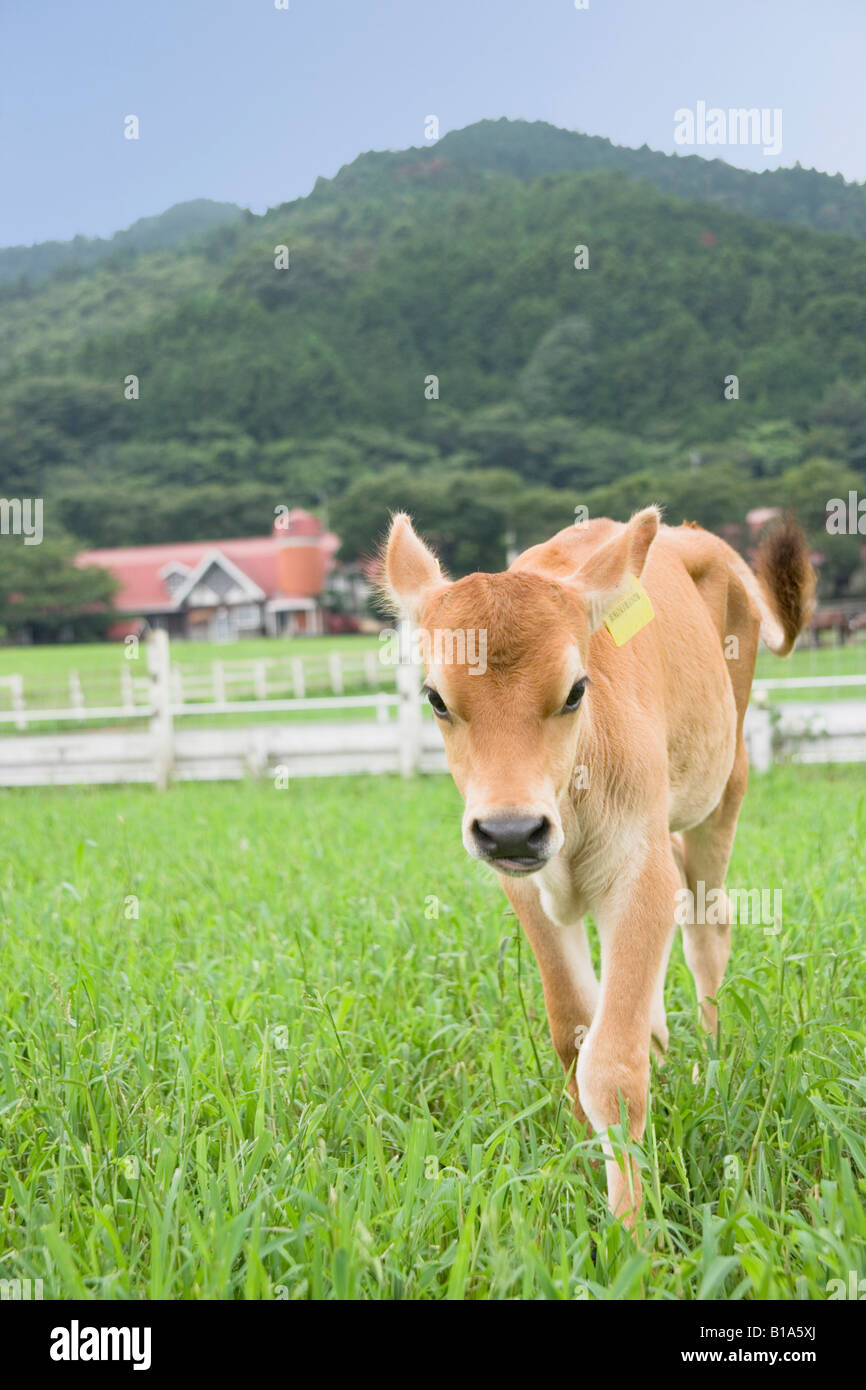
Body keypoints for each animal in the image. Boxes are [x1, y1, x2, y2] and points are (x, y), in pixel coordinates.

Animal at [383, 508, 815, 1224]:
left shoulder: (636, 873)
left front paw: (629, 1227)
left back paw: (710, 1059)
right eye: (436, 699)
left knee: (707, 925)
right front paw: (586, 1167)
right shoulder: (526, 889)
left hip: (724, 783)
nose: (510, 828)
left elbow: (611, 1066)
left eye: (575, 691)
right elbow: (574, 1033)